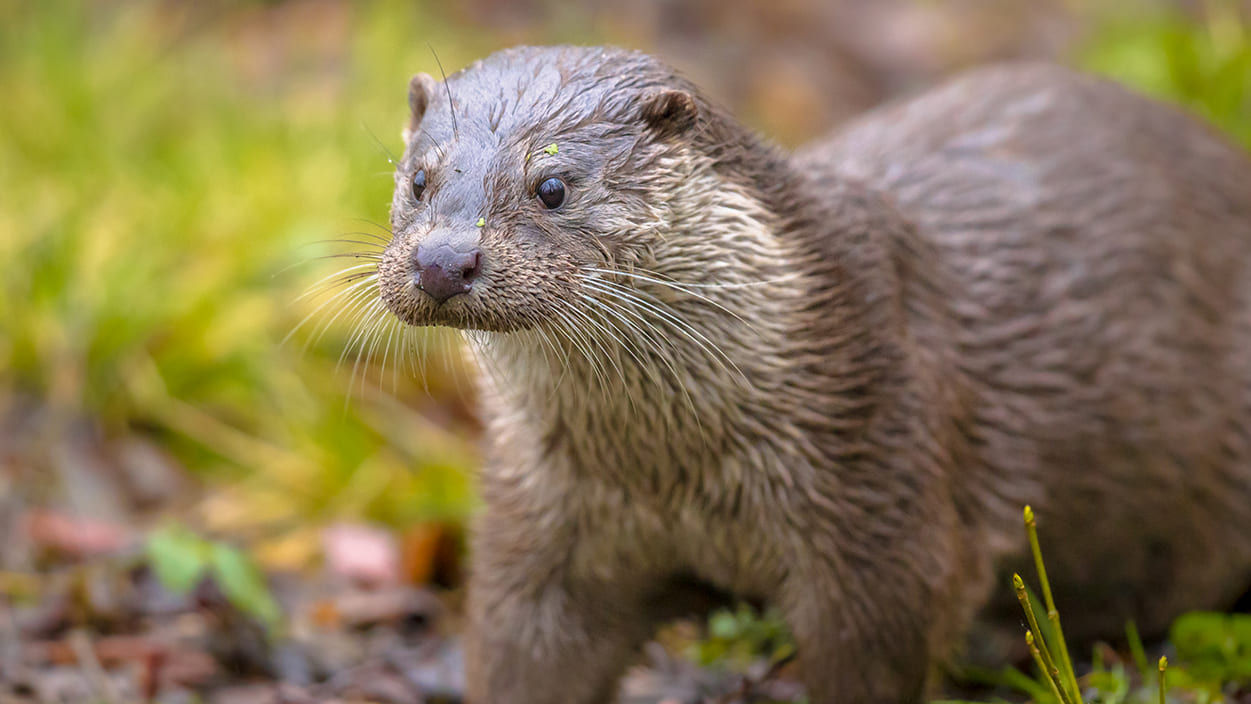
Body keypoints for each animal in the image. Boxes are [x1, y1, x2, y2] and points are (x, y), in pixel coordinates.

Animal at [372, 46, 1251, 703]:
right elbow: (524, 648)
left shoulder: (879, 510)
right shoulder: (543, 520)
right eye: (418, 179)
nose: (444, 260)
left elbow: (879, 649)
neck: (668, 469)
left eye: (552, 187)